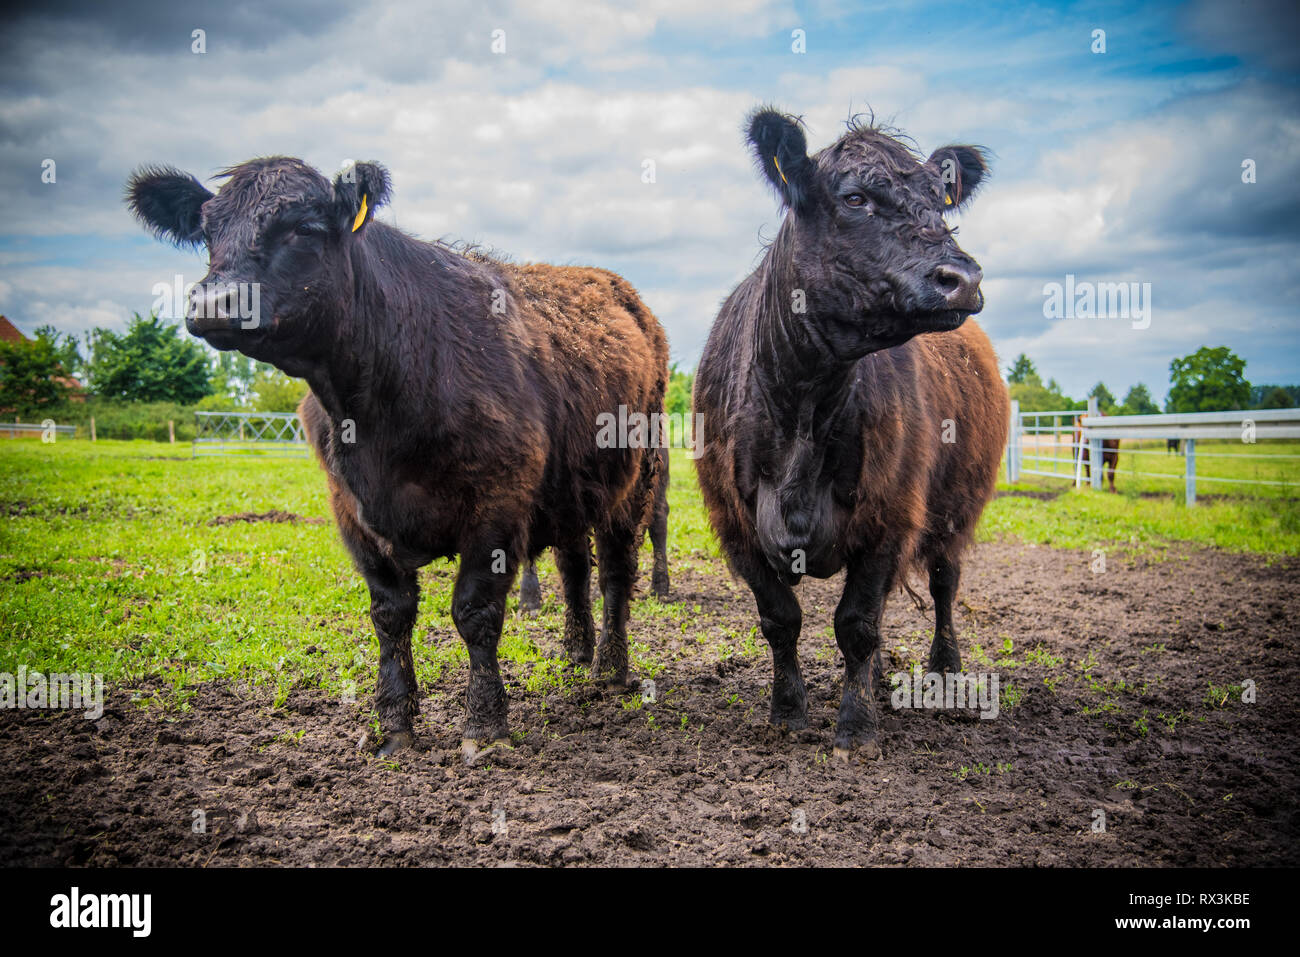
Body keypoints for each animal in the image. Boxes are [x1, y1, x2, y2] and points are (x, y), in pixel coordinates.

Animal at [693, 108, 1007, 761]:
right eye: (855, 197)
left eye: (939, 201)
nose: (962, 278)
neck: (803, 404)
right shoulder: (734, 520)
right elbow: (781, 619)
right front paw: (788, 713)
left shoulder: (890, 516)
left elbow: (856, 624)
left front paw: (856, 726)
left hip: (955, 507)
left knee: (944, 582)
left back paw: (944, 672)